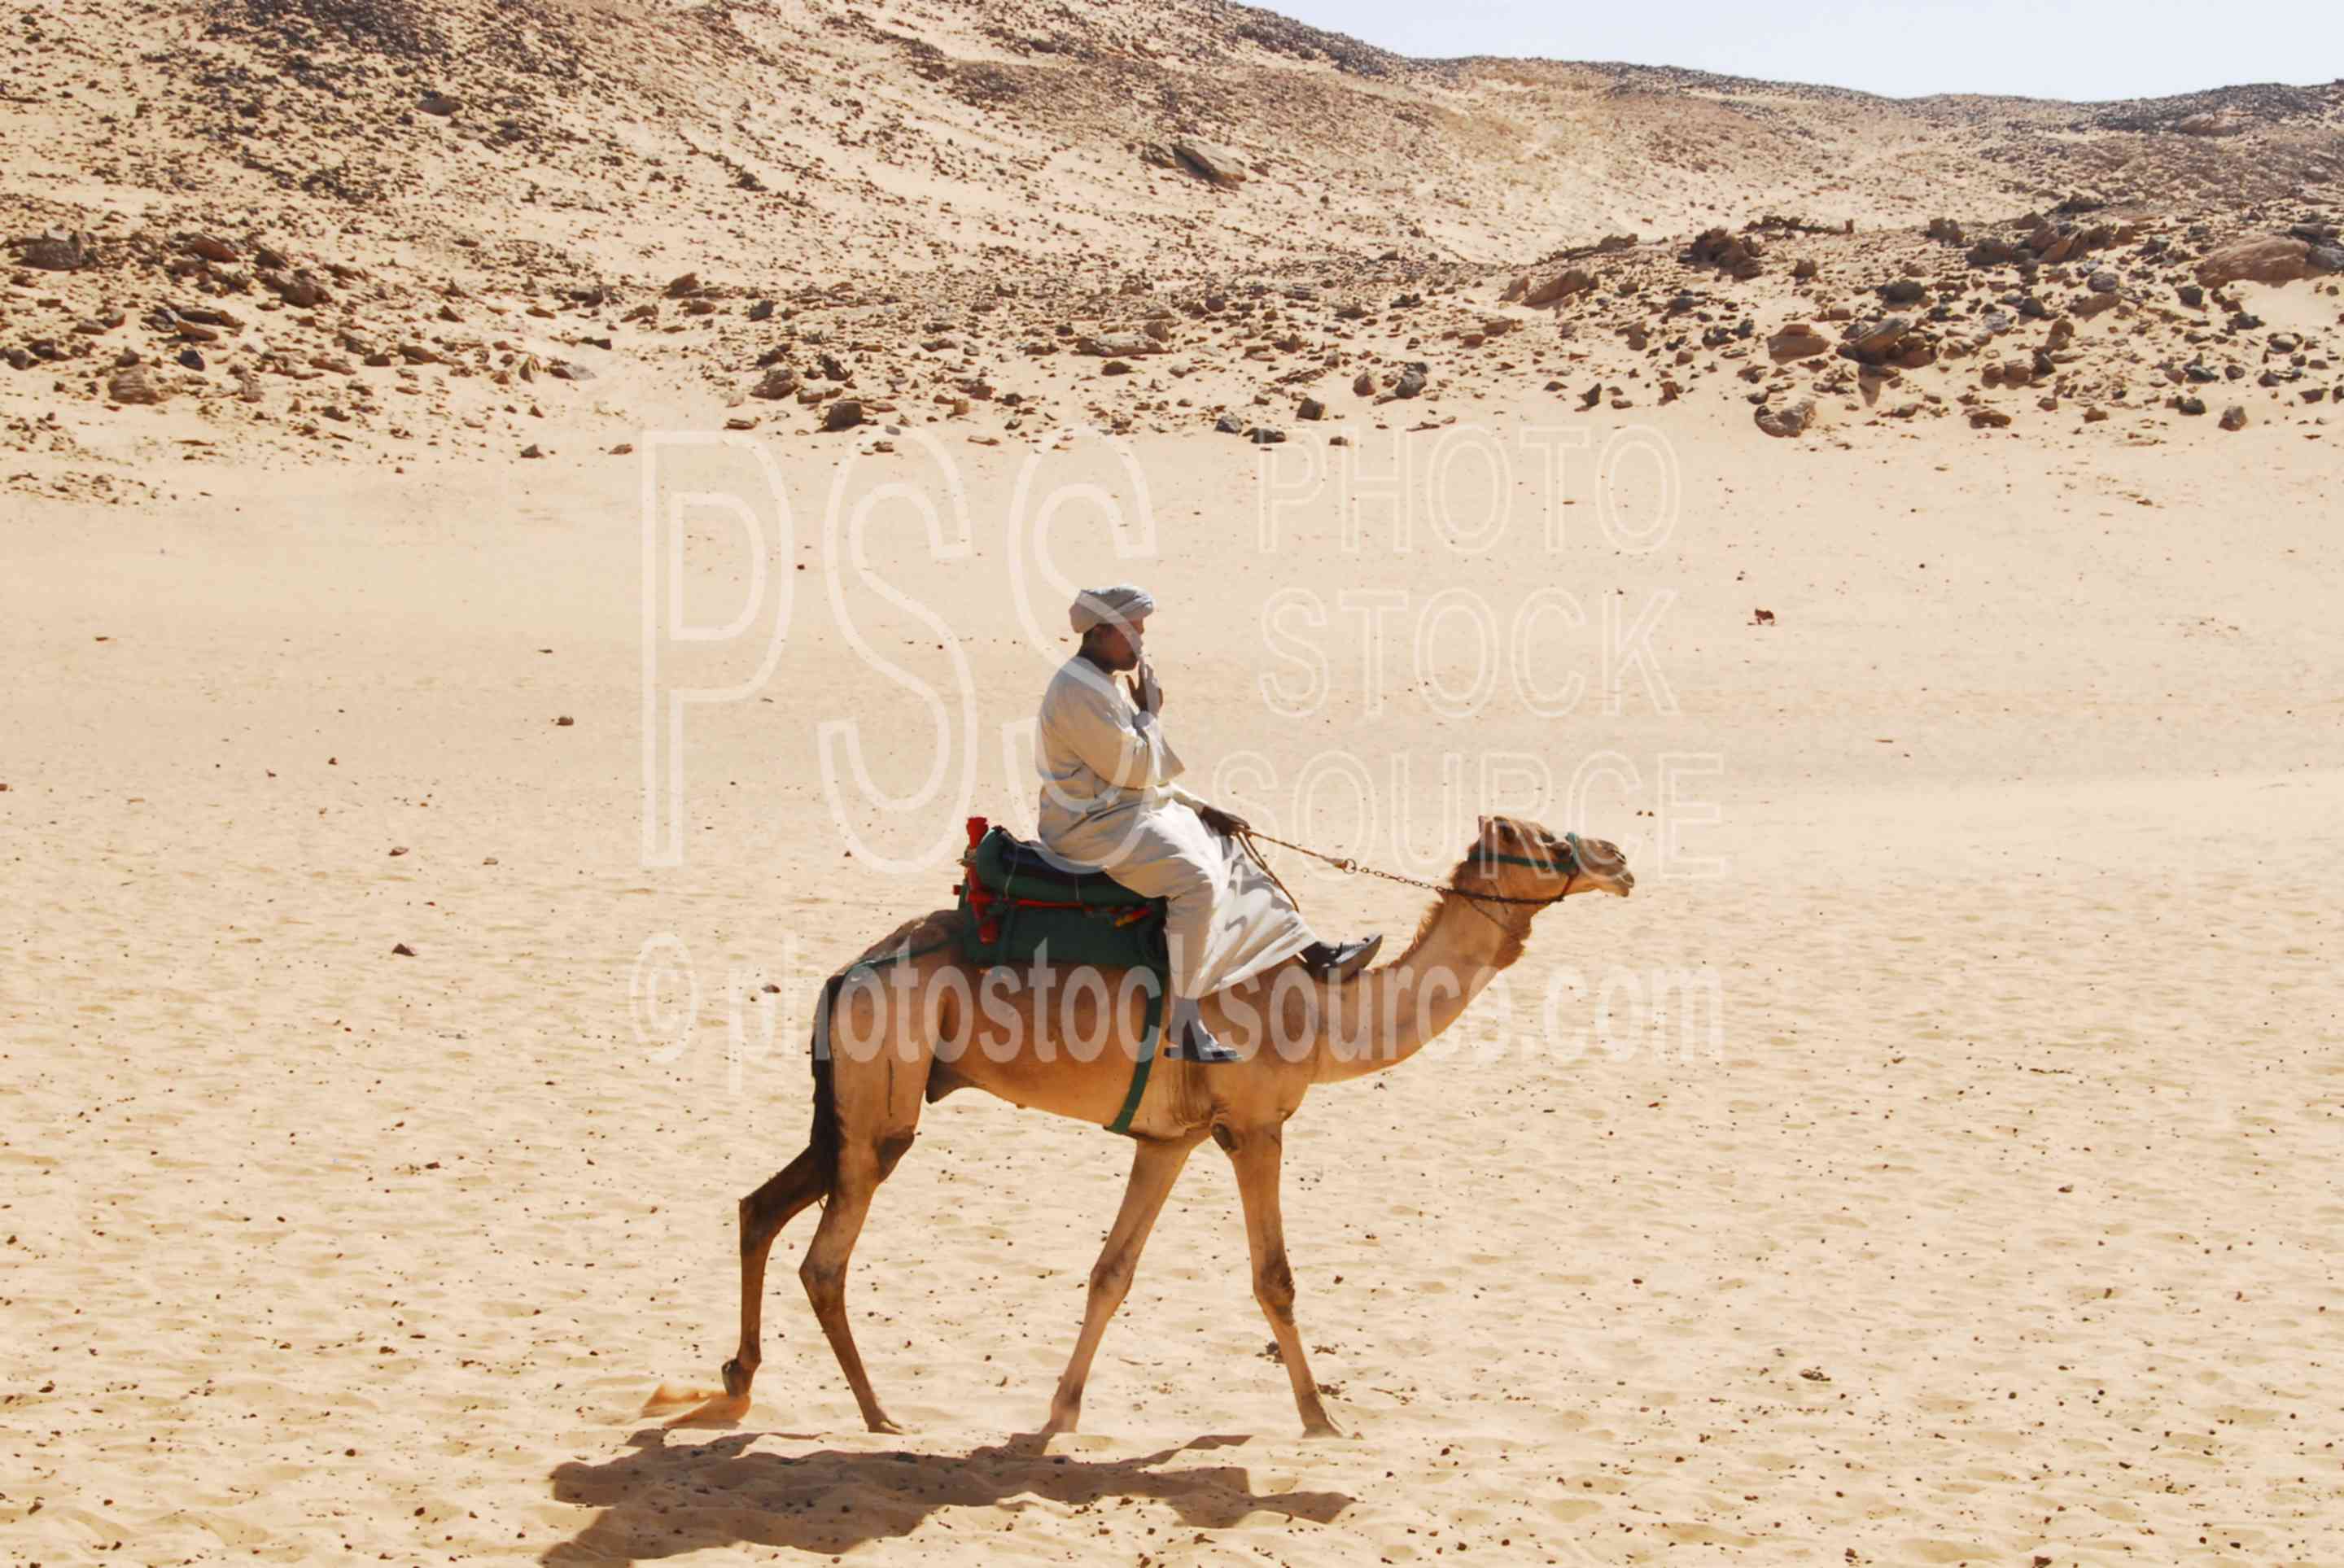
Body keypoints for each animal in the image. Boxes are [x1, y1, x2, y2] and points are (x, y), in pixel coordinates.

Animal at [648, 814, 1633, 1438]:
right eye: (1545, 840)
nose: (1618, 856)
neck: (1319, 1012)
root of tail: (846, 974)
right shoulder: (1253, 1127)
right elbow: (1275, 1280)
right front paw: (1323, 1419)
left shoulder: (1171, 1138)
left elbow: (1109, 1275)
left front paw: (1060, 1413)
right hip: (883, 1098)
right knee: (824, 1258)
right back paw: (878, 1412)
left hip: (859, 1107)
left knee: (760, 1206)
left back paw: (740, 1377)